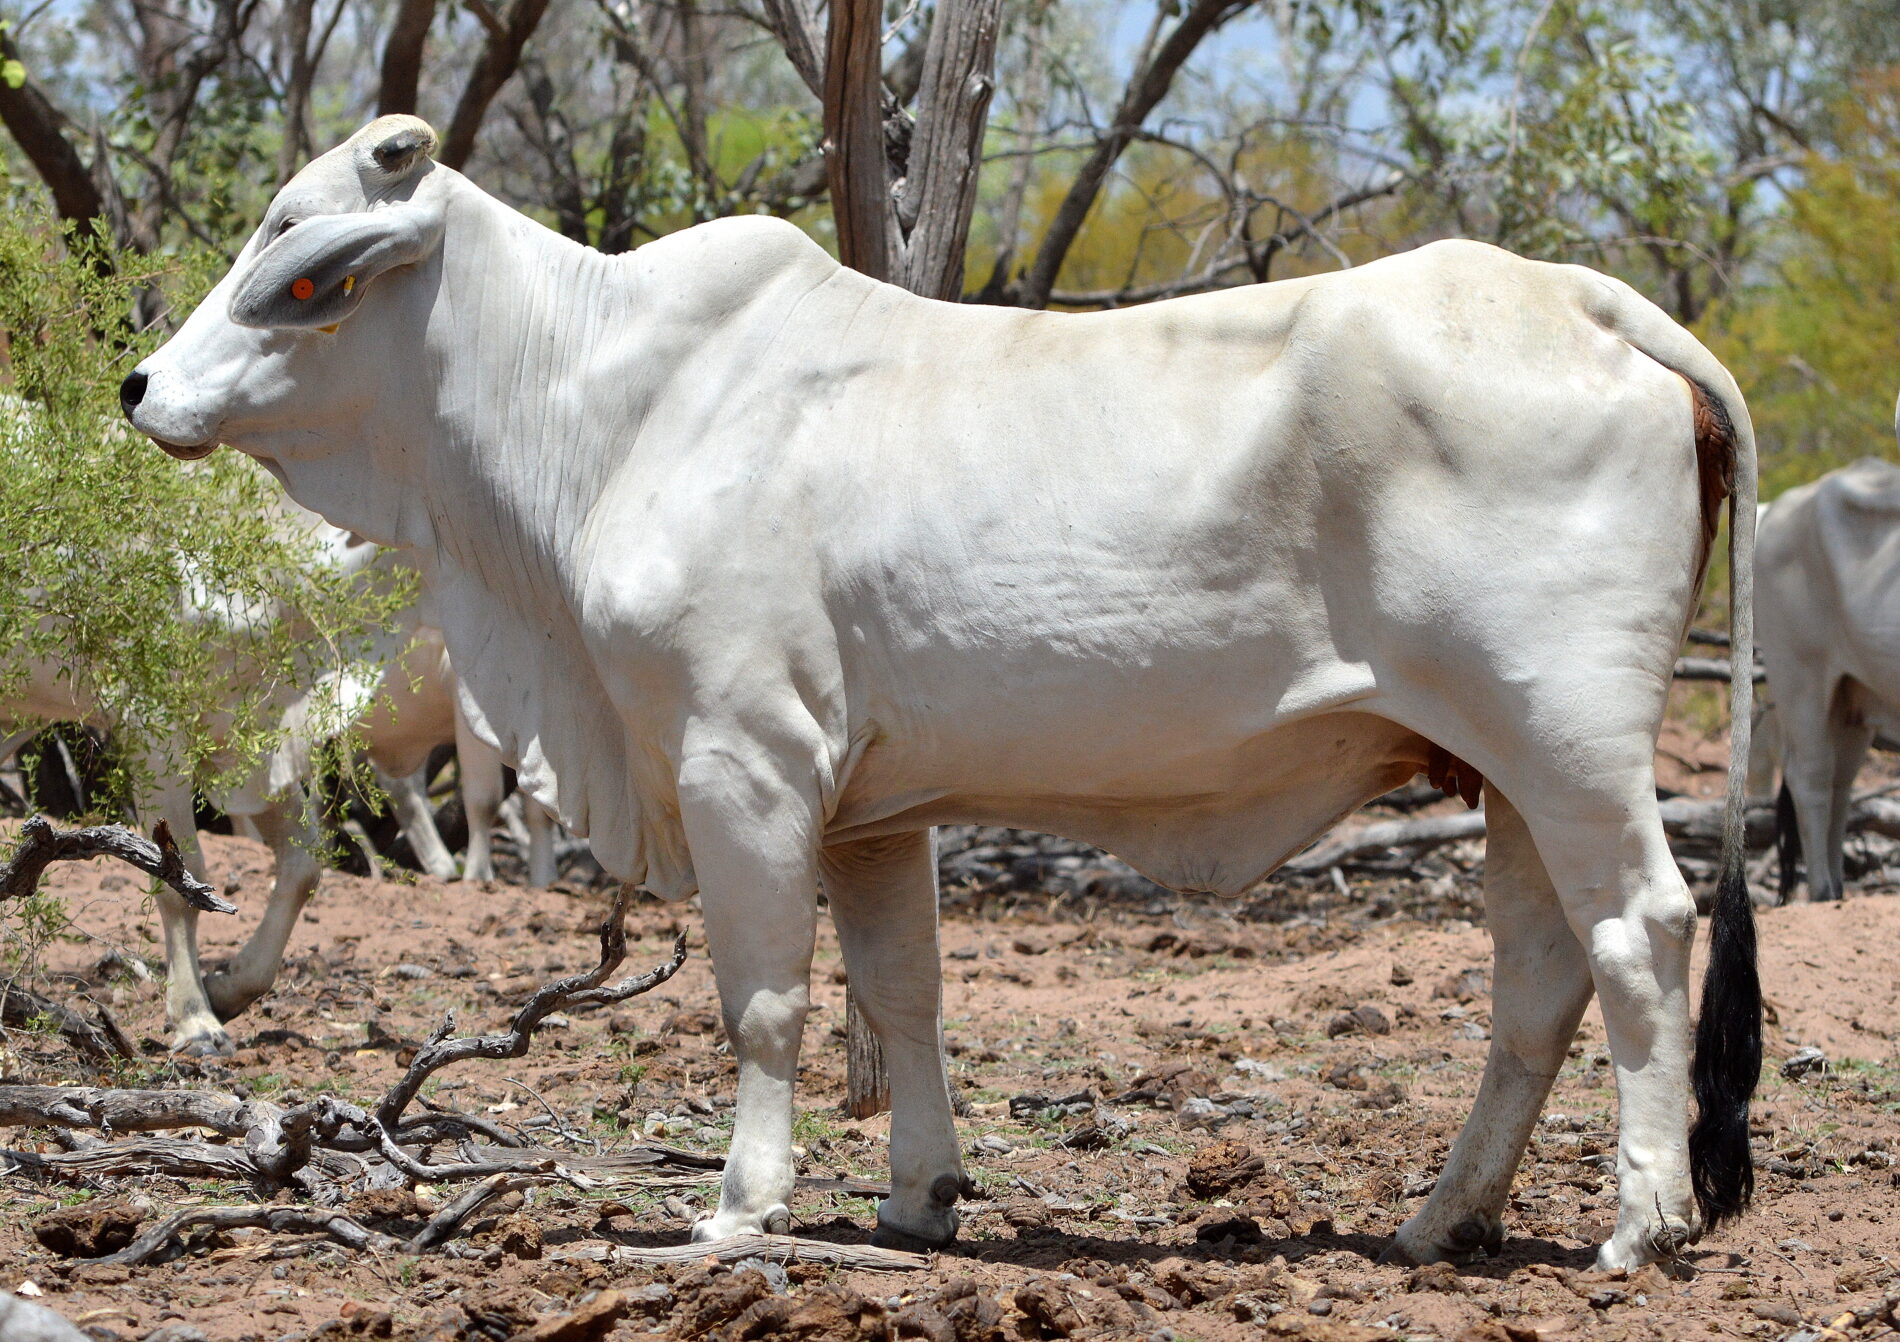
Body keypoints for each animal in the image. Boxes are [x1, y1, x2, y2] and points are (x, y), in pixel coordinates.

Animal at [123, 115, 1761, 1271]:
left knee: (1641, 934)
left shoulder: (743, 758)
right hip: (1504, 772)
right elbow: (901, 988)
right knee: (1539, 979)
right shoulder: (869, 805)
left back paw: (1640, 1221)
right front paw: (920, 1196)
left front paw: (741, 1202)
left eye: (299, 268)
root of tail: (1590, 301)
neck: (613, 401)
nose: (138, 388)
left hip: (1568, 746)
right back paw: (1440, 1219)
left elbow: (766, 1000)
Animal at [1754, 453, 1900, 902]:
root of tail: (1775, 508)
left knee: (1840, 783)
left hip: (1850, 695)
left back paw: (1837, 888)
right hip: (1800, 677)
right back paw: (1821, 889)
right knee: (1811, 777)